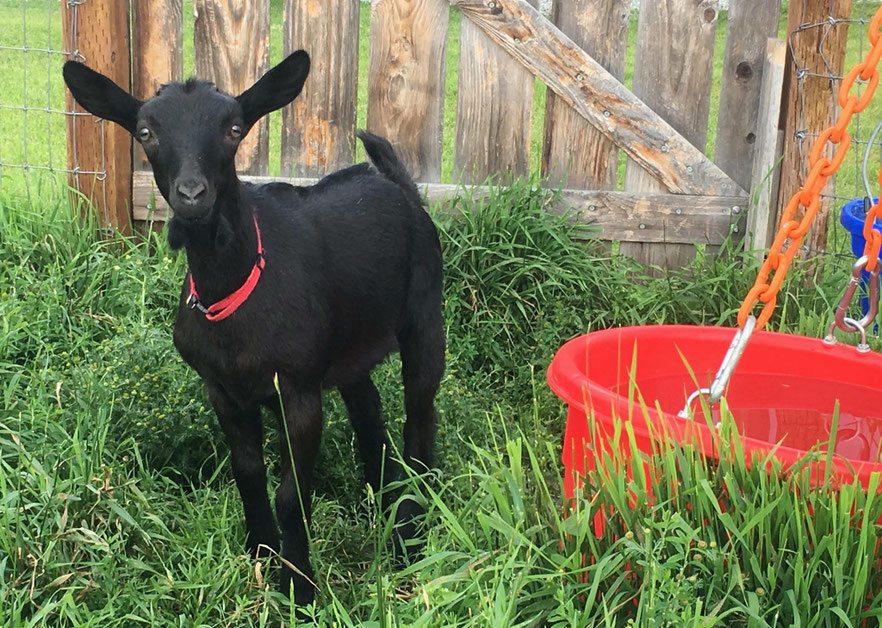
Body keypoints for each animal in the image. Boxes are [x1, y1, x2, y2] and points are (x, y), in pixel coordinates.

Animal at [62, 51, 445, 607]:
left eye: (235, 129)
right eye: (145, 132)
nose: (192, 195)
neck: (240, 291)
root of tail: (399, 184)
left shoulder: (299, 390)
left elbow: (292, 495)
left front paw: (300, 588)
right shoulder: (221, 389)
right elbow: (247, 474)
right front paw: (261, 555)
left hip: (425, 316)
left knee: (419, 415)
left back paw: (410, 530)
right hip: (348, 343)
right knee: (368, 409)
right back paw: (379, 498)